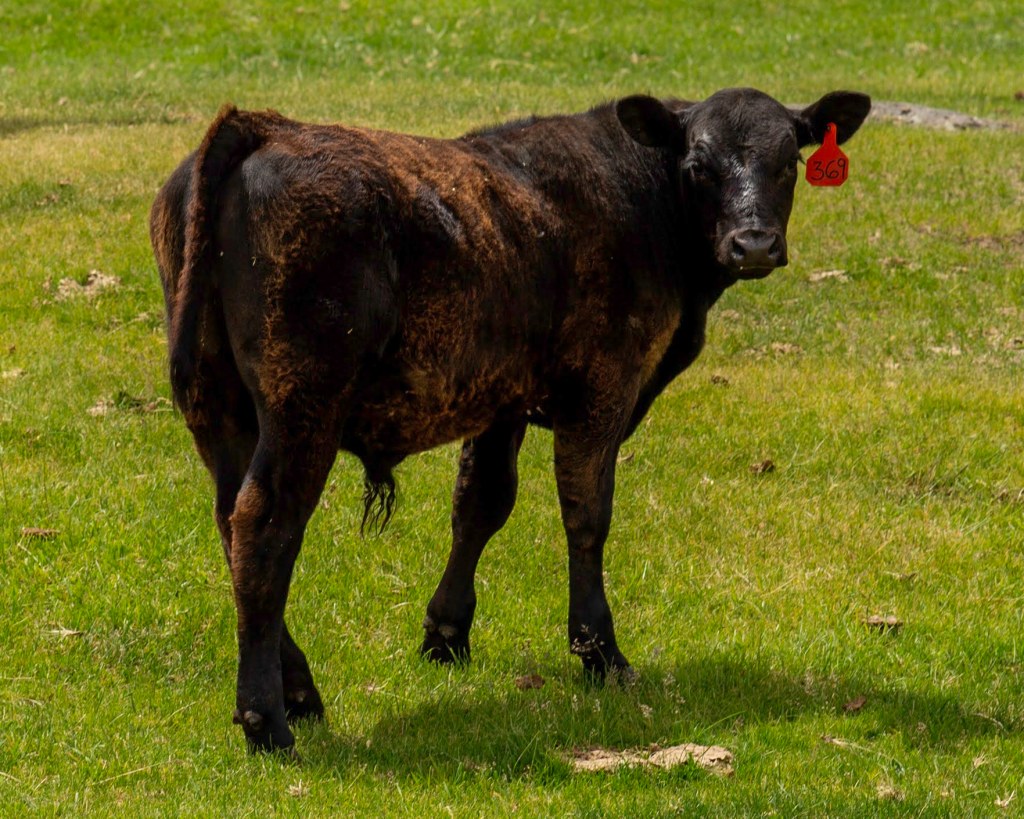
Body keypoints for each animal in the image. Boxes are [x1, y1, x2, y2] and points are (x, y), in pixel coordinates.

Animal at [150, 87, 870, 753]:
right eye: (698, 164)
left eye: (788, 160)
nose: (754, 244)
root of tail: (264, 127)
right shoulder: (603, 387)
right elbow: (586, 514)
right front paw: (601, 654)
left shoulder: (500, 398)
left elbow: (480, 503)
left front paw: (446, 636)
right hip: (302, 403)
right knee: (265, 526)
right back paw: (267, 719)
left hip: (218, 410)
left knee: (231, 524)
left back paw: (298, 690)